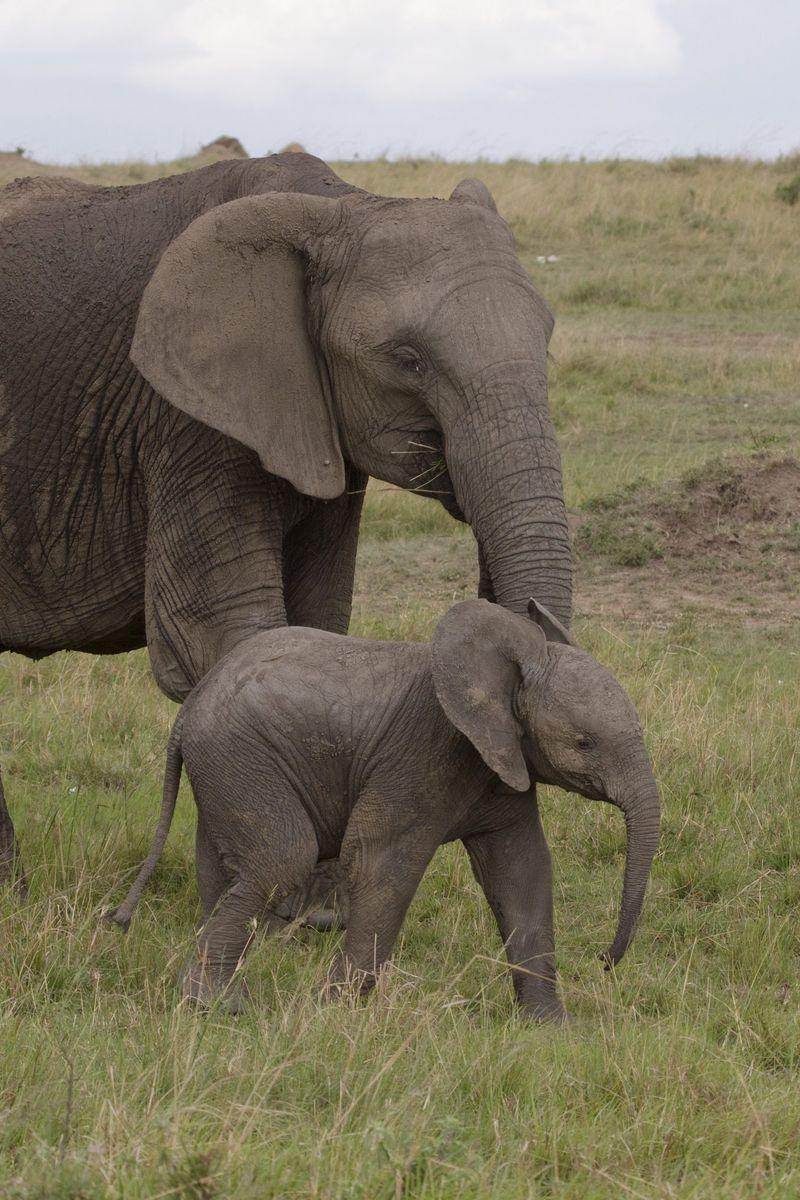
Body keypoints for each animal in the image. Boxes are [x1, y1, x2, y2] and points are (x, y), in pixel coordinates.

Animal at [0, 151, 571, 889]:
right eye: (408, 360)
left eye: (547, 341)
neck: (344, 207)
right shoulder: (188, 419)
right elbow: (222, 640)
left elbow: (315, 630)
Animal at [111, 599, 660, 1022]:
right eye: (585, 743)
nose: (604, 961)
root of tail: (187, 710)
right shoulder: (425, 753)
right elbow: (382, 862)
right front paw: (334, 1013)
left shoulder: (503, 765)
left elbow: (521, 872)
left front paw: (551, 1028)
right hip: (241, 757)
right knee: (283, 857)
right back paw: (216, 1006)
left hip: (224, 769)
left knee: (223, 869)